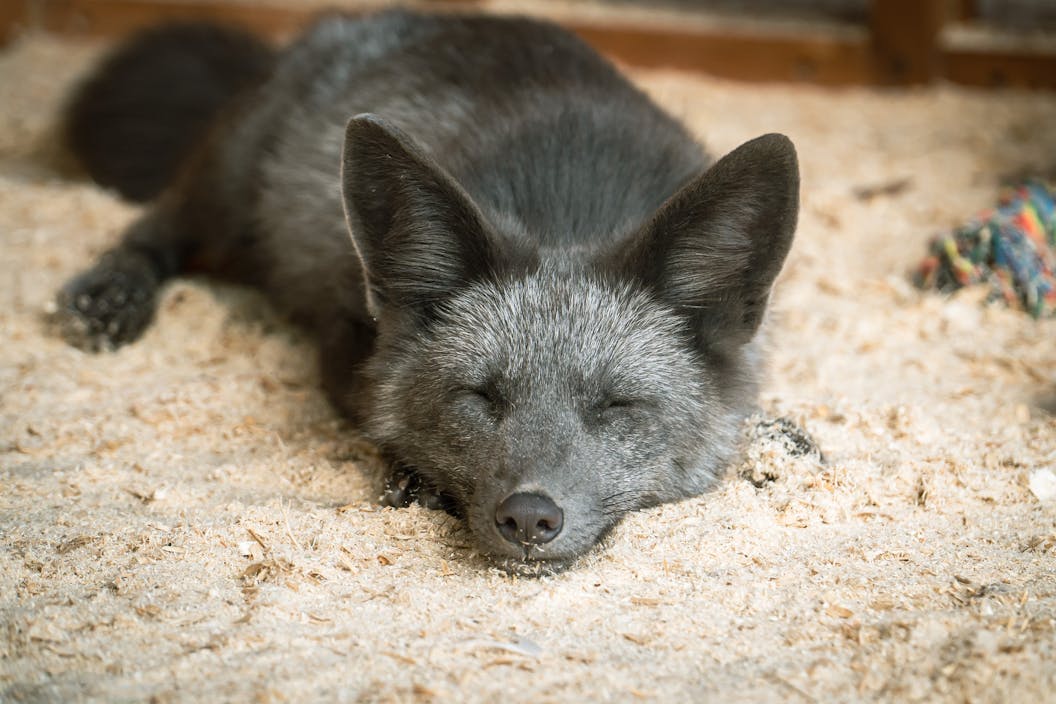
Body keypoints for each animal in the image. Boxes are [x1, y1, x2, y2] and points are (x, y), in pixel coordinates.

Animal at [55, 9, 800, 570]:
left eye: (616, 406)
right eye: (480, 396)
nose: (529, 518)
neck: (569, 213)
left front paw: (782, 441)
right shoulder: (345, 336)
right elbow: (374, 408)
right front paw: (413, 471)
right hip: (230, 187)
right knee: (156, 224)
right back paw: (108, 297)